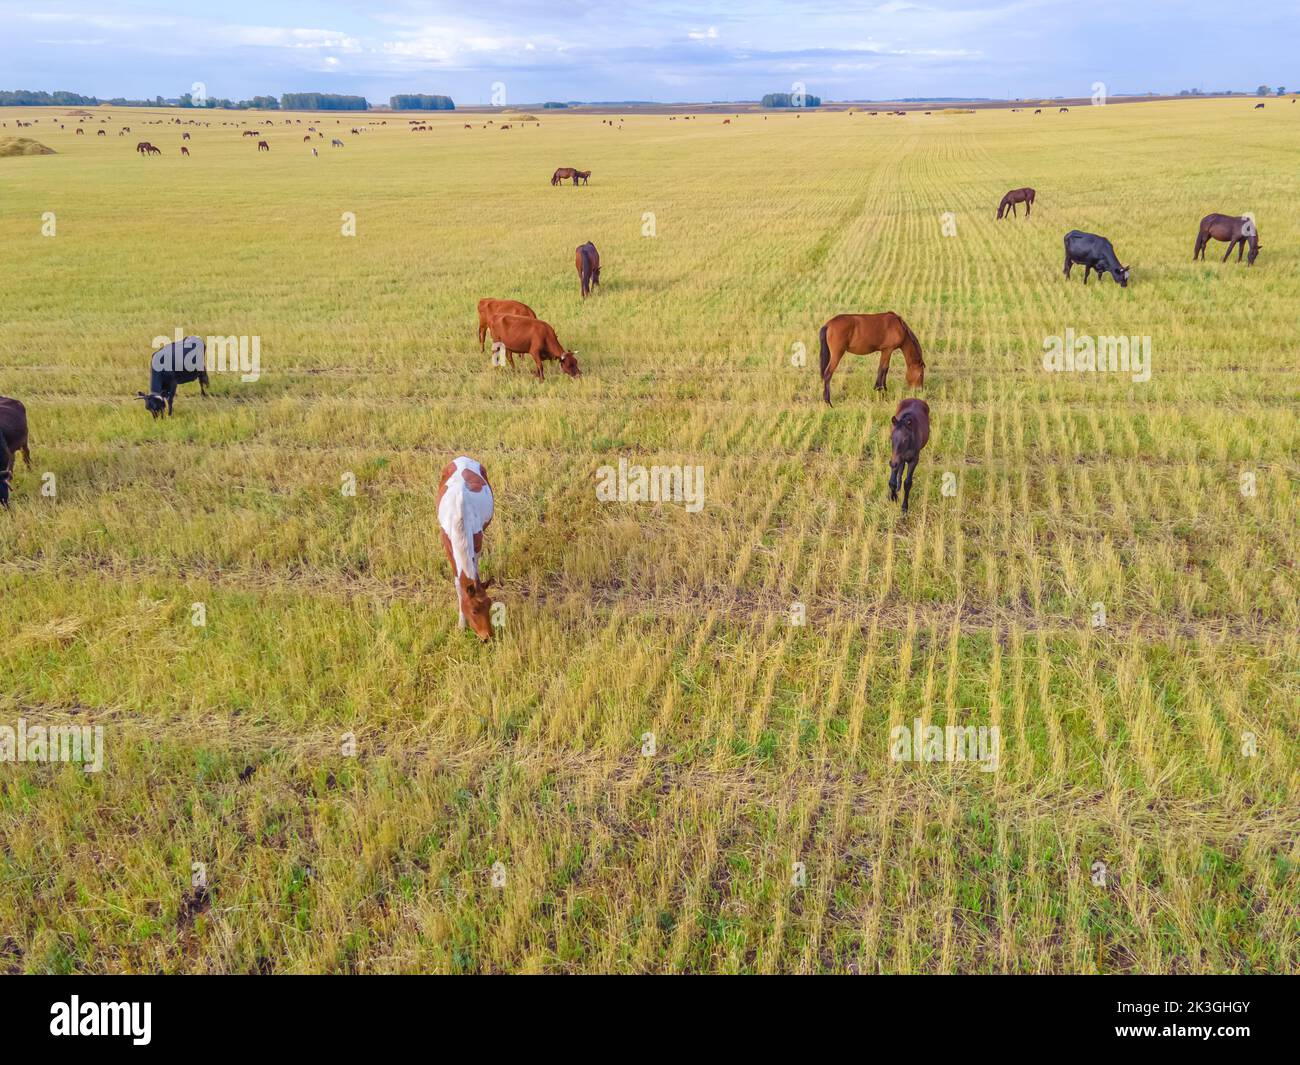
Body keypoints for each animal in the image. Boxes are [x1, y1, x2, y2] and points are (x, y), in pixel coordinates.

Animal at [436, 456, 496, 641]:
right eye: (474, 610)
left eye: (490, 605)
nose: (487, 637)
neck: (460, 517)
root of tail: (462, 458)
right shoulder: (448, 545)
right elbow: (458, 584)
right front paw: (461, 625)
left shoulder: (477, 542)